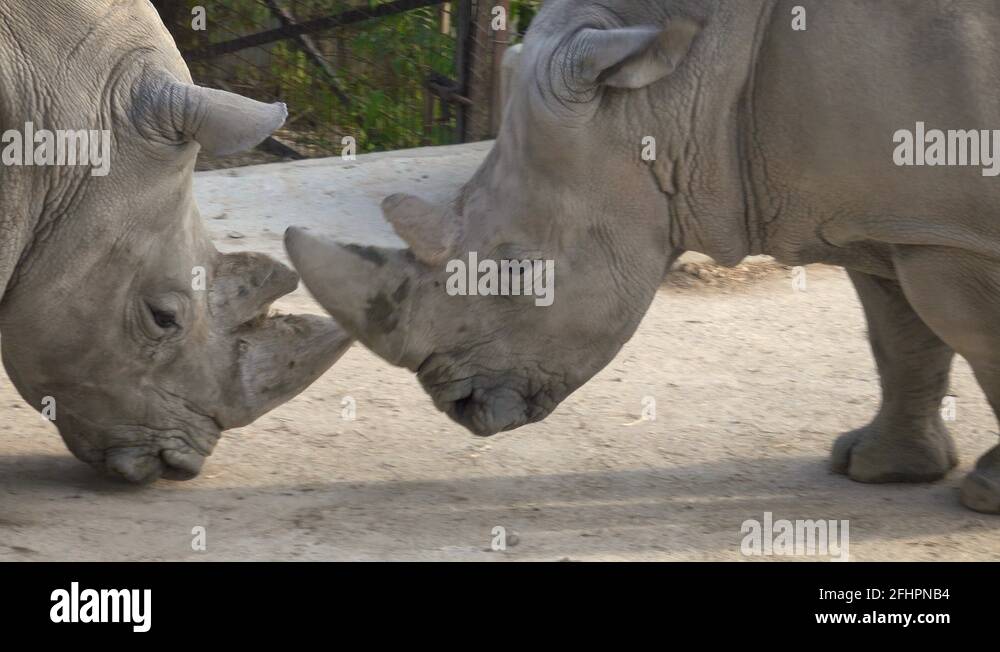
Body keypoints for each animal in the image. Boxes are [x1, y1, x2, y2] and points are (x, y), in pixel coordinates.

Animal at [286, 0, 1000, 514]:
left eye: (520, 273)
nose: (455, 405)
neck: (688, 78)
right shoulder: (891, 216)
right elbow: (900, 333)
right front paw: (878, 469)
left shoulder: (947, 227)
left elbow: (969, 334)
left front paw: (986, 497)